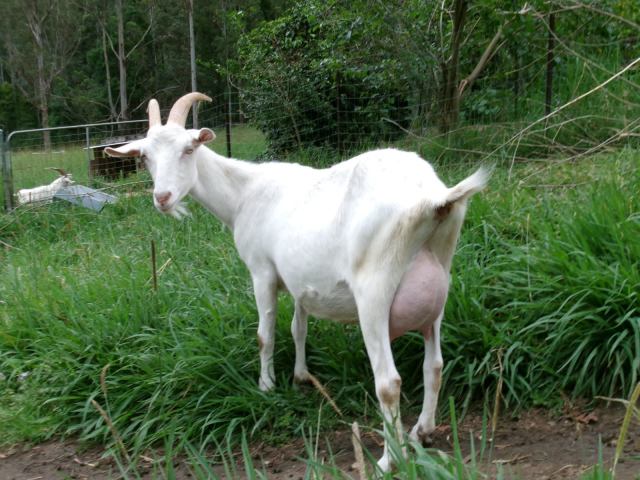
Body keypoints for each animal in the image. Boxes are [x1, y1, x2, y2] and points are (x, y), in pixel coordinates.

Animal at [106, 93, 488, 471]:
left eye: (188, 149)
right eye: (145, 156)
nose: (163, 198)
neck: (243, 194)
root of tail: (432, 199)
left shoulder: (261, 271)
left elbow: (265, 335)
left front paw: (266, 386)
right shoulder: (299, 281)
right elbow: (298, 328)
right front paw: (301, 376)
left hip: (374, 291)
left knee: (389, 382)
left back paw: (387, 460)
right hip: (439, 284)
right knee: (433, 365)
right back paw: (421, 432)